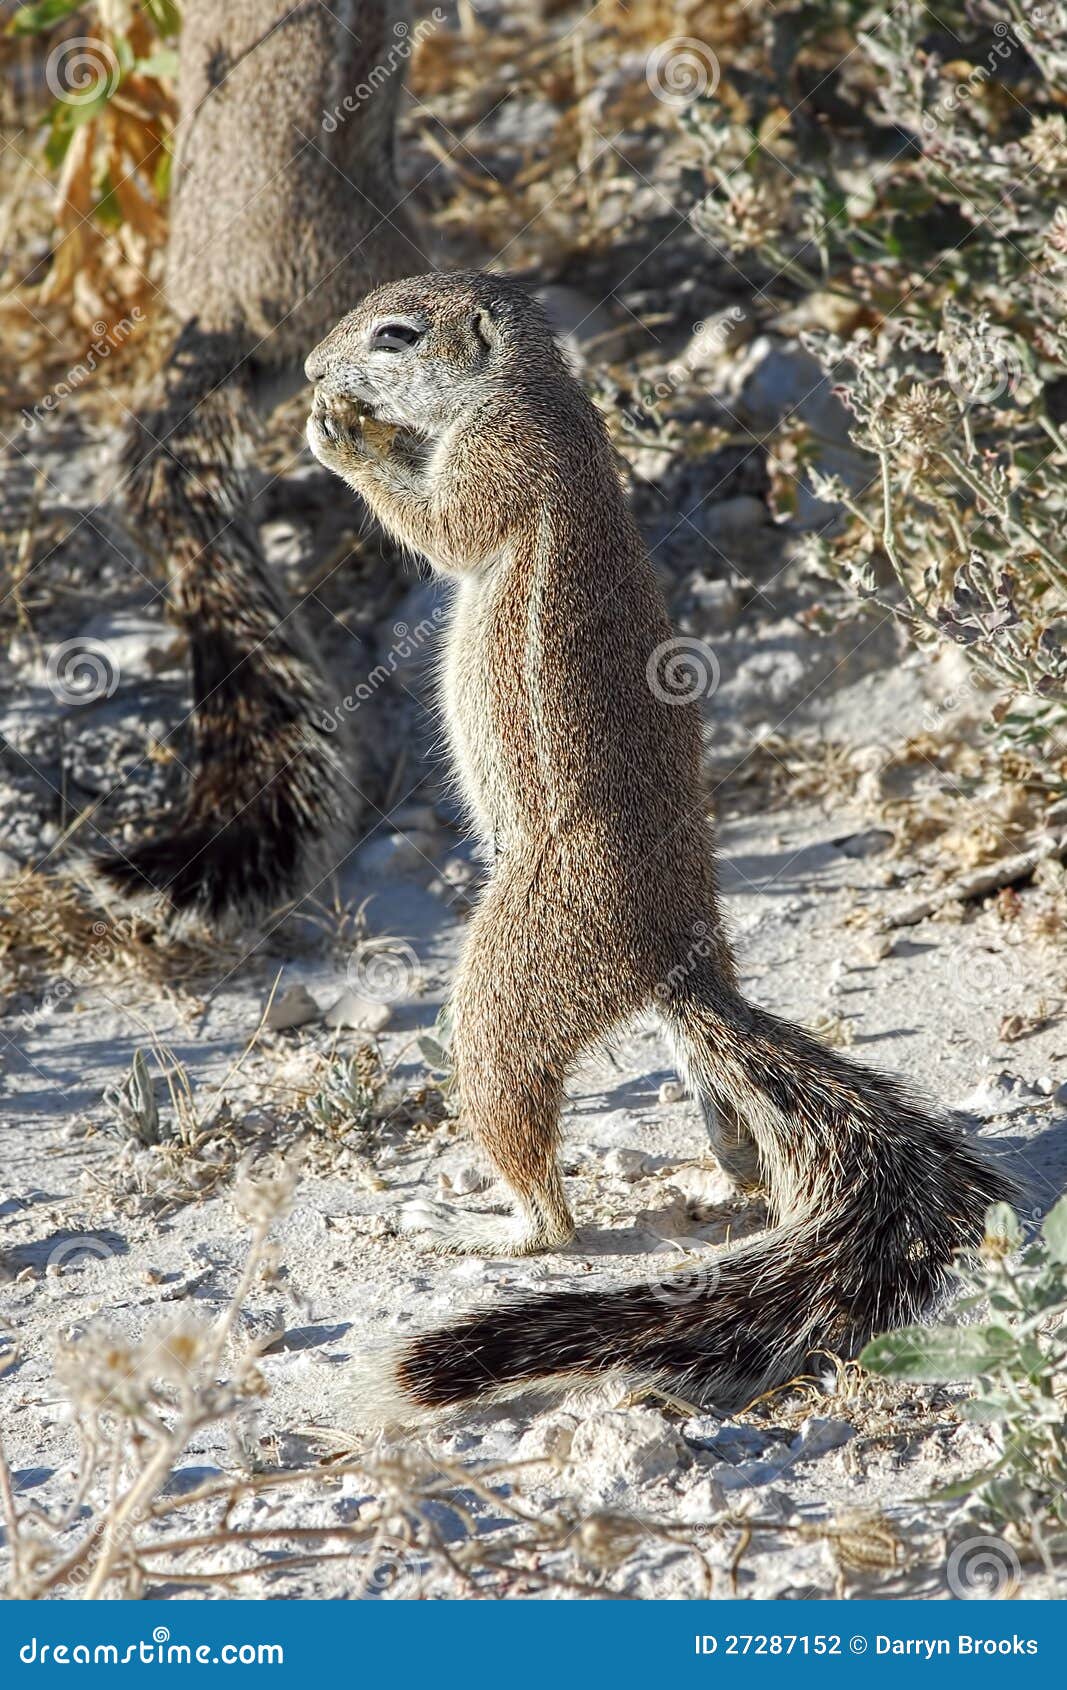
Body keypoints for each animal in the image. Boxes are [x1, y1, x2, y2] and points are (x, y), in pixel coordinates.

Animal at [305, 270, 1015, 1416]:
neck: (535, 395)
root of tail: (674, 961)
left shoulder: (498, 462)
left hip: (502, 993)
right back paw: (728, 1159)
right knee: (721, 1115)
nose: (311, 369)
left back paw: (484, 1224)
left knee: (544, 1193)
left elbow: (444, 528)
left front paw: (342, 434)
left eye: (395, 334)